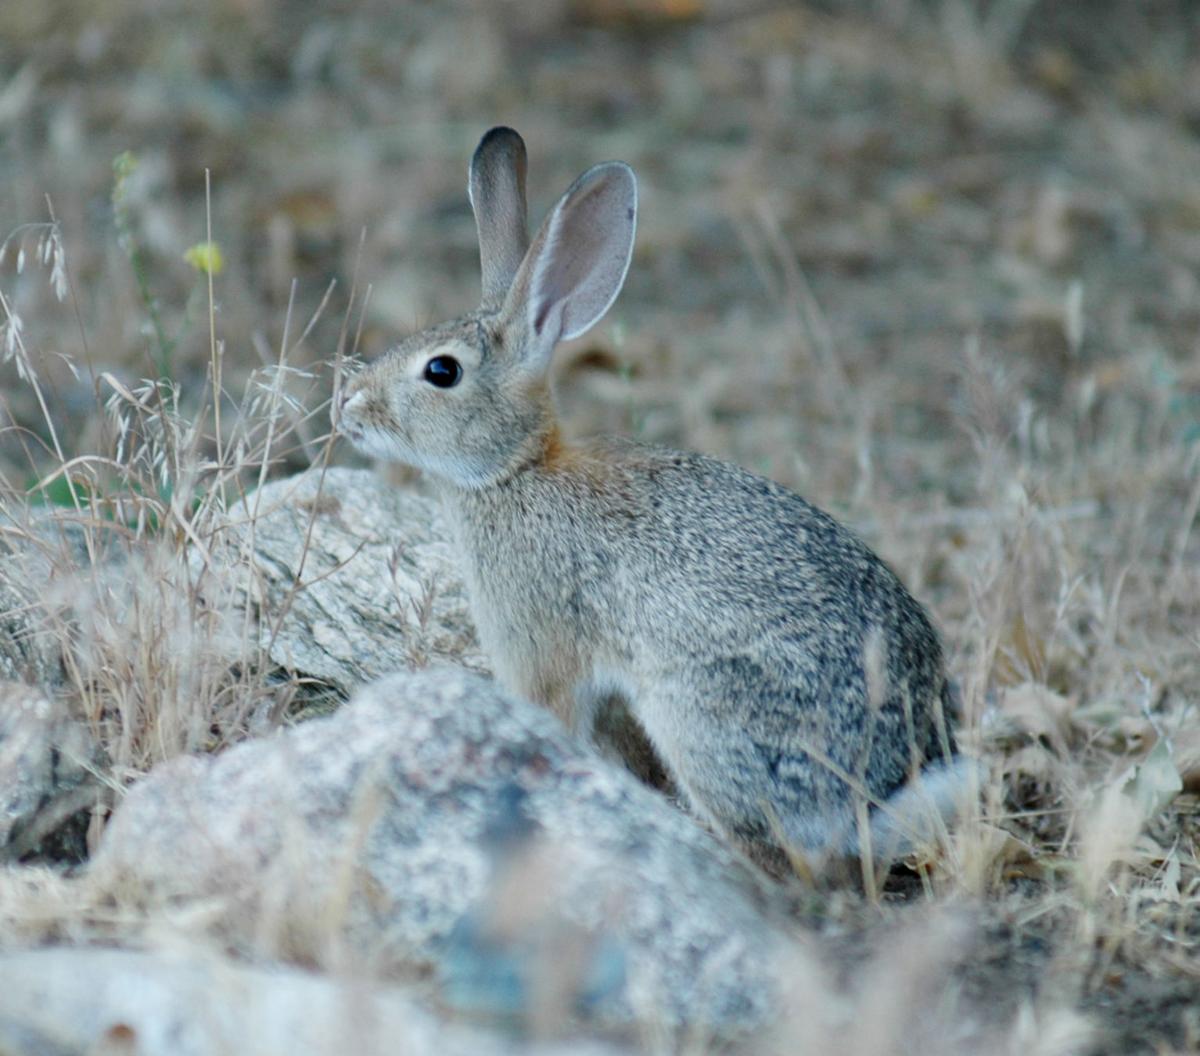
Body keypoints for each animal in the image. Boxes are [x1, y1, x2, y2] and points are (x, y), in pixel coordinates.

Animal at [336, 126, 969, 873]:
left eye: (441, 371)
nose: (348, 407)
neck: (514, 472)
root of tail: (881, 794)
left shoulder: (541, 648)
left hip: (702, 721)